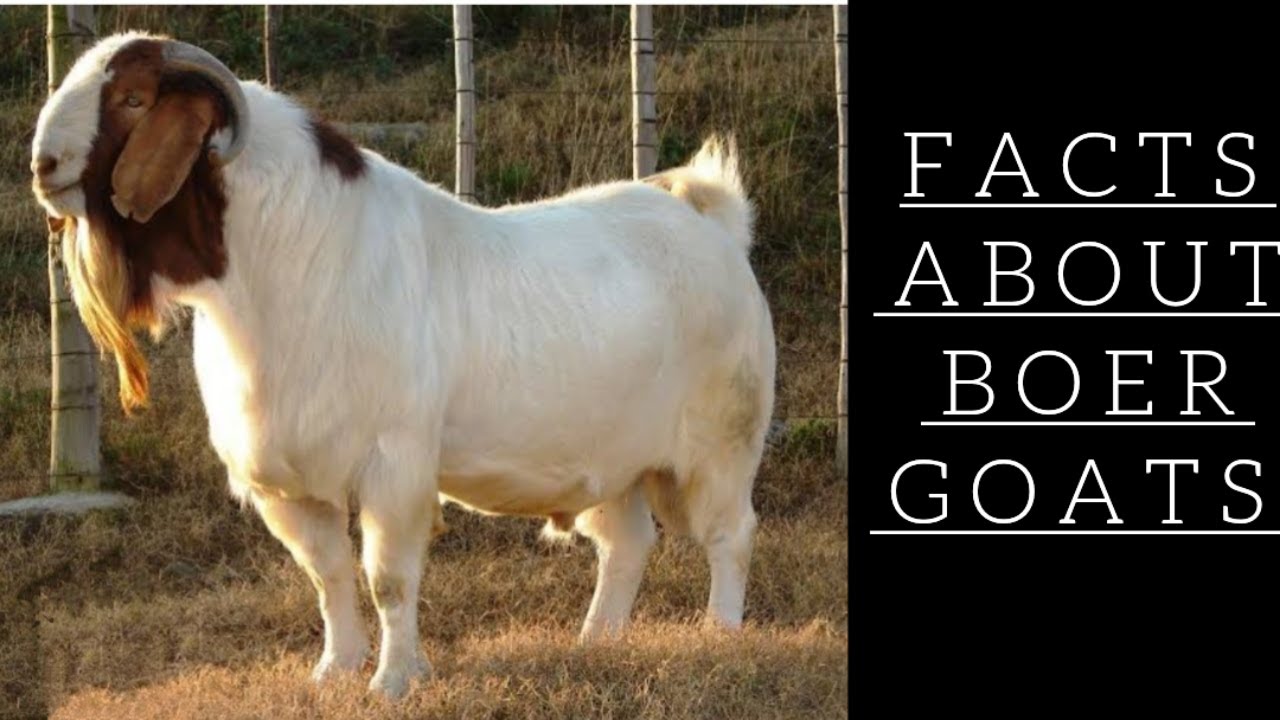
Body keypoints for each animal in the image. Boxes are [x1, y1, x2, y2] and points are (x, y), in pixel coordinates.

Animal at [32, 33, 776, 698]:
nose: (43, 164)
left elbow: (388, 578)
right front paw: (335, 671)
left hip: (722, 440)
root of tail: (713, 223)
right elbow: (328, 575)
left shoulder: (394, 463)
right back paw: (595, 642)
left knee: (730, 533)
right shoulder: (289, 481)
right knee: (626, 543)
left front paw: (392, 681)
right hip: (615, 459)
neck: (288, 258)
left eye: (132, 98)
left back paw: (719, 633)